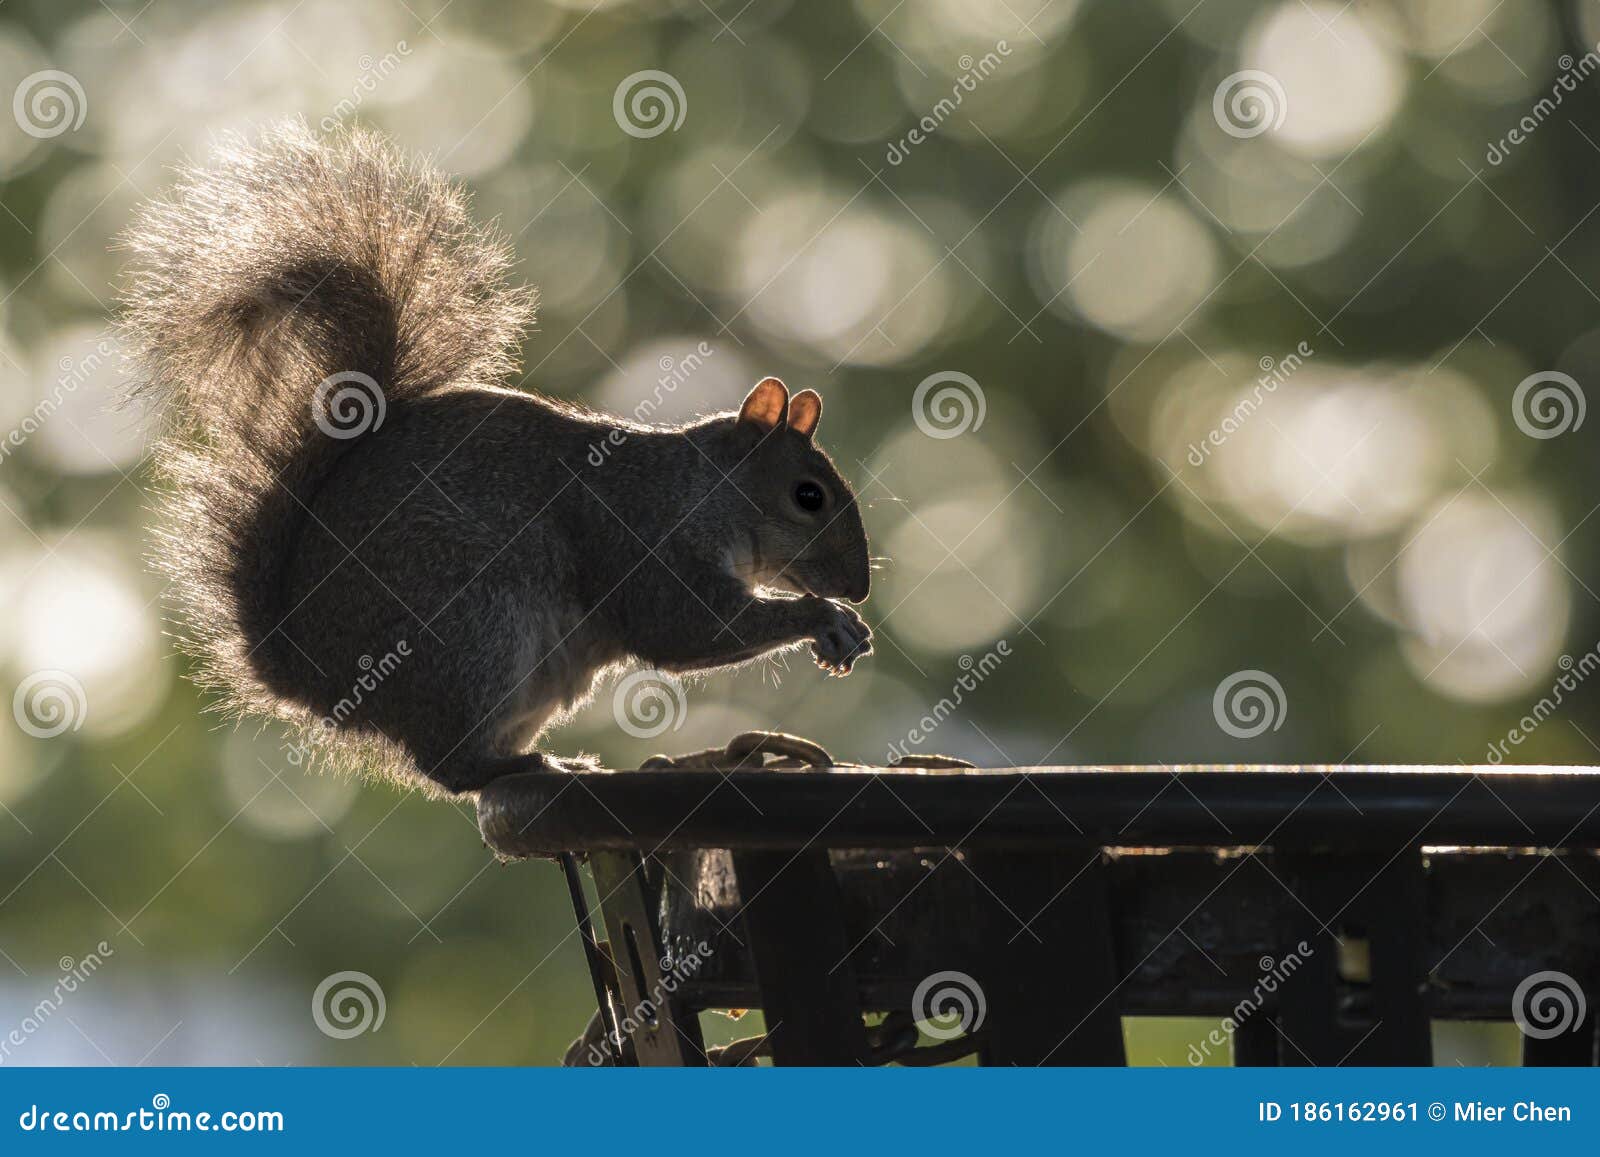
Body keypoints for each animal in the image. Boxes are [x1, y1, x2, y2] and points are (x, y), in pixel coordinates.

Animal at [119, 119, 873, 796]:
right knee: (448, 767)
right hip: (473, 625)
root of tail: (311, 673)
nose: (861, 587)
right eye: (808, 496)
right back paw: (530, 764)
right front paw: (823, 618)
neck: (701, 487)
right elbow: (684, 626)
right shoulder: (647, 537)